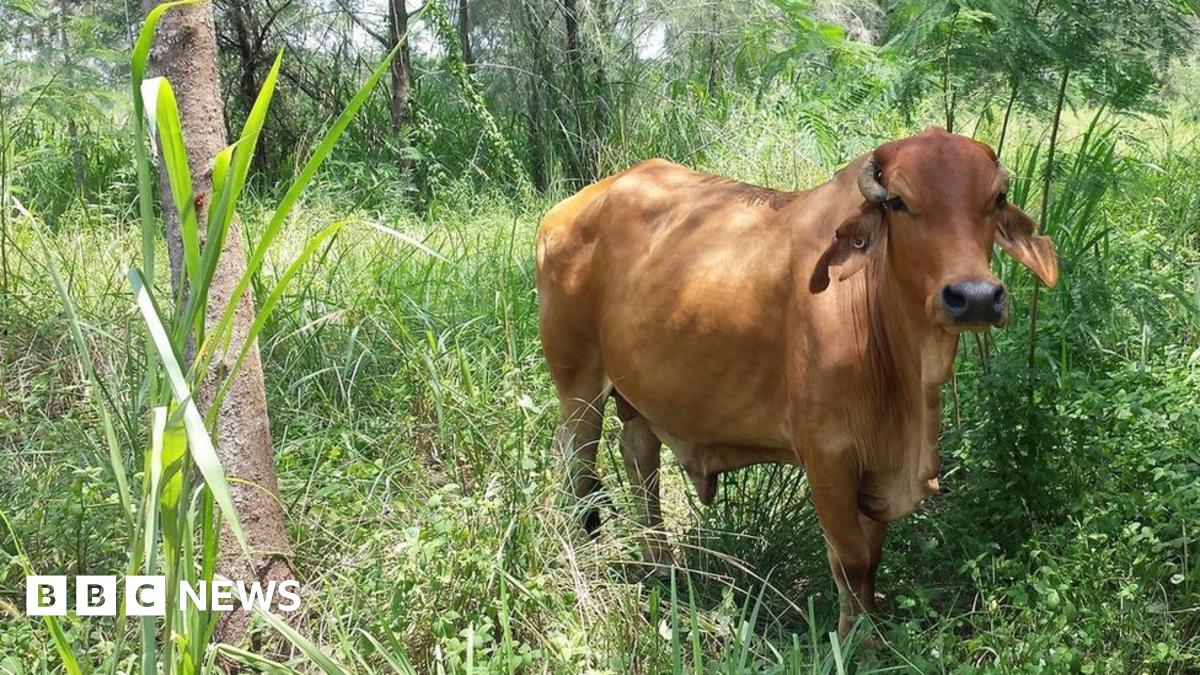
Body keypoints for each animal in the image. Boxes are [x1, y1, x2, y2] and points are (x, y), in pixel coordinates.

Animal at [534, 128, 1058, 634]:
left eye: (996, 198)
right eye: (898, 202)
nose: (974, 297)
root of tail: (570, 207)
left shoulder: (875, 466)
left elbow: (871, 559)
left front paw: (871, 633)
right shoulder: (826, 455)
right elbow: (851, 559)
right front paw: (851, 642)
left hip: (639, 393)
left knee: (638, 458)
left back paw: (662, 565)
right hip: (579, 384)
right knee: (575, 465)